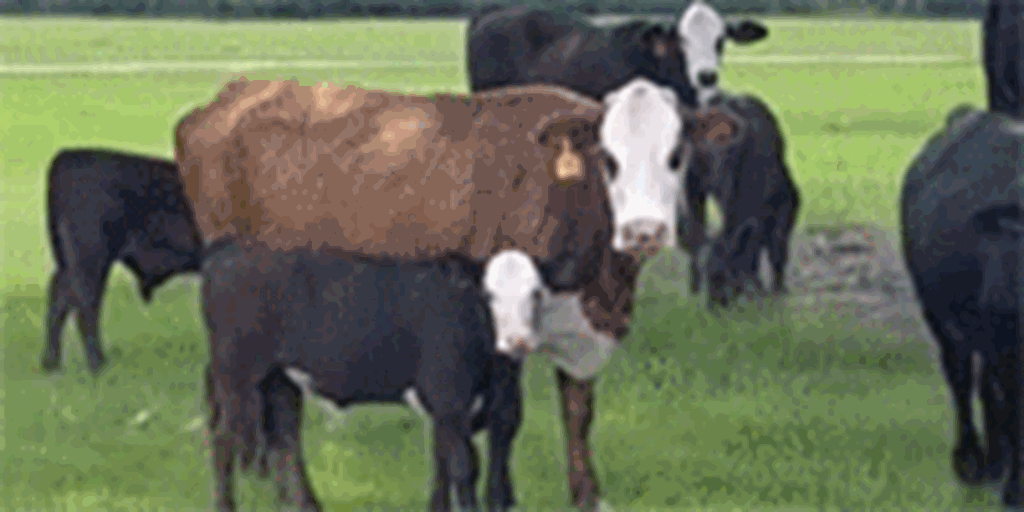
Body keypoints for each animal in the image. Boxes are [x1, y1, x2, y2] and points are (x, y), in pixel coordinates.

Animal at [41, 149, 202, 374]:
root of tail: (67, 155)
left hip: (70, 262)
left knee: (60, 298)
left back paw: (52, 364)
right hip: (91, 258)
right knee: (86, 305)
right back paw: (97, 365)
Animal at [201, 240, 537, 512]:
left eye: (536, 294)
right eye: (488, 296)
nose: (517, 341)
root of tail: (229, 253)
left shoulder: (490, 409)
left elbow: (470, 471)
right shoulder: (449, 400)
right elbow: (463, 467)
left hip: (278, 380)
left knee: (284, 442)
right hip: (236, 375)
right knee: (224, 441)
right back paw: (225, 506)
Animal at [900, 104, 1024, 507]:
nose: (999, 298)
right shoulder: (1004, 346)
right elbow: (1014, 405)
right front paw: (1016, 489)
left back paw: (994, 462)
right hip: (940, 318)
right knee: (961, 378)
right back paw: (971, 461)